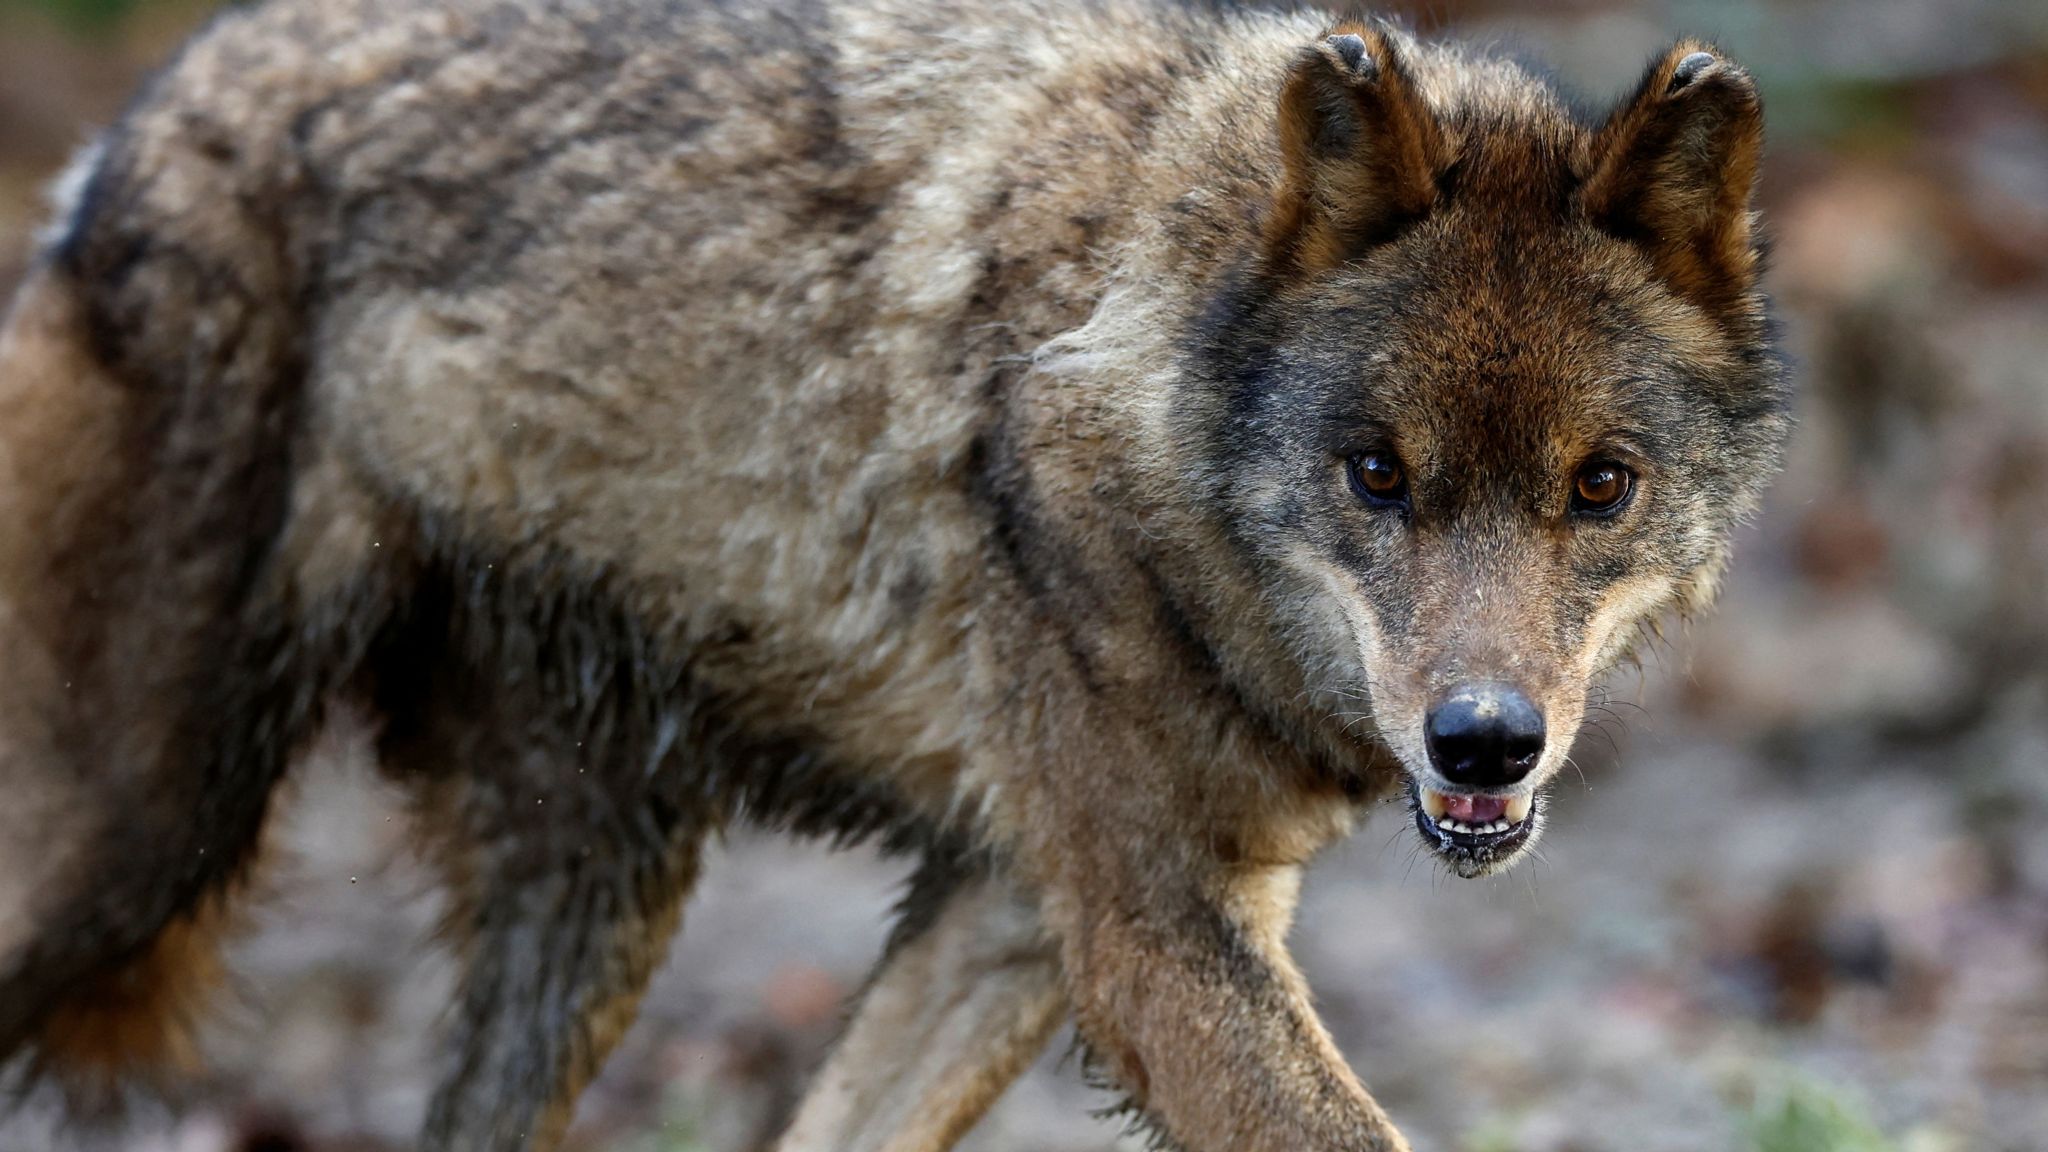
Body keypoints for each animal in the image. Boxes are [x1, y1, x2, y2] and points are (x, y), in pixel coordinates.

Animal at [0, 0, 1786, 1148]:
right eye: (1378, 476)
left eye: (1599, 487)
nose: (1486, 742)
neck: (1133, 339)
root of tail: (134, 122)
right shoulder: (1146, 935)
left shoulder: (1012, 920)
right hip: (137, 842)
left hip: (596, 903)